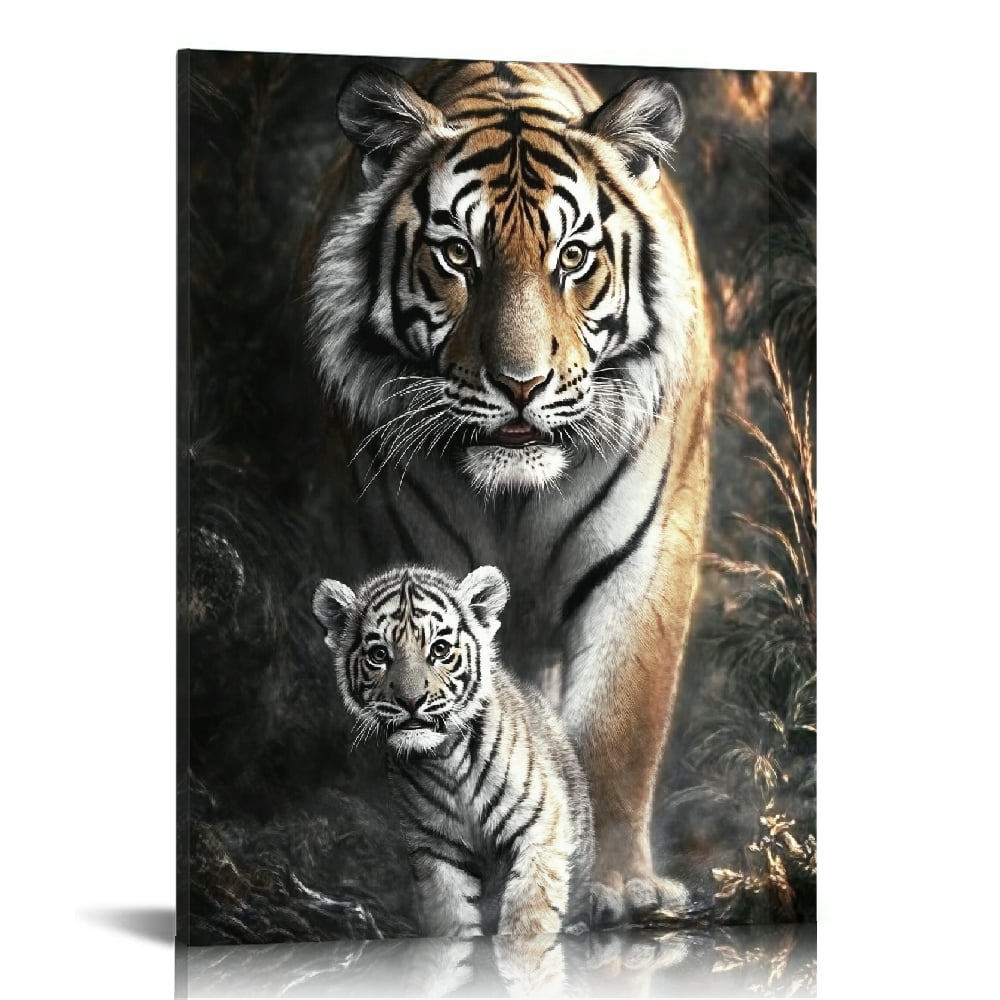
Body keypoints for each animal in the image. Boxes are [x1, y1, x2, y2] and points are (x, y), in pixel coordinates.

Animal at [312, 563, 595, 938]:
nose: (411, 700)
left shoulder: (539, 832)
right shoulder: (436, 851)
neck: (445, 758)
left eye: (440, 649)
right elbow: (453, 919)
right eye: (378, 655)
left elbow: (528, 918)